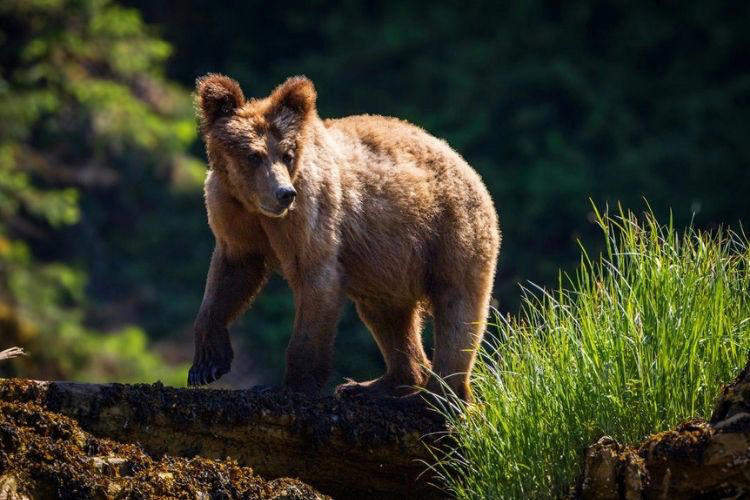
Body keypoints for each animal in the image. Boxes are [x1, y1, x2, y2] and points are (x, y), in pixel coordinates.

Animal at [188, 74, 500, 402]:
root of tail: (464, 163)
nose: (284, 194)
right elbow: (230, 277)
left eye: (286, 154)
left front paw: (288, 385)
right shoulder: (232, 217)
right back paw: (376, 384)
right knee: (388, 315)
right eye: (253, 155)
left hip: (449, 232)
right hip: (386, 264)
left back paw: (439, 396)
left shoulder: (309, 215)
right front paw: (206, 365)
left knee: (457, 310)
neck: (253, 207)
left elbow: (315, 281)